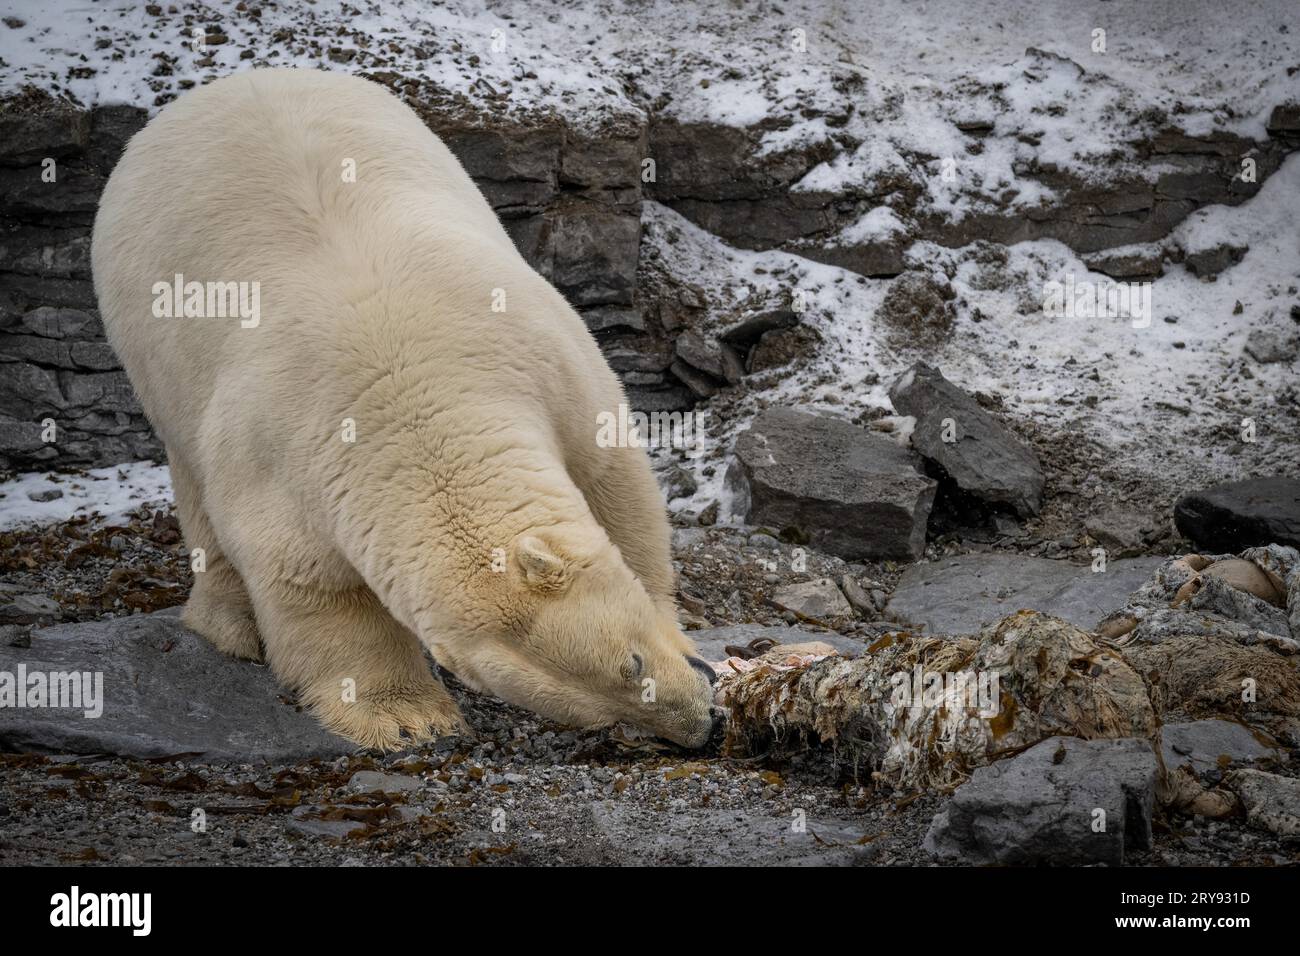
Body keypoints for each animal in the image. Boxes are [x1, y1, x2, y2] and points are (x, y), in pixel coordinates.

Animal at [91, 68, 718, 750]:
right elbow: (313, 584)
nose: (702, 725)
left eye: (632, 662)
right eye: (605, 716)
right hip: (154, 356)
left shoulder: (543, 358)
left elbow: (614, 487)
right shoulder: (281, 459)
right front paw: (407, 718)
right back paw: (231, 625)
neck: (415, 399)